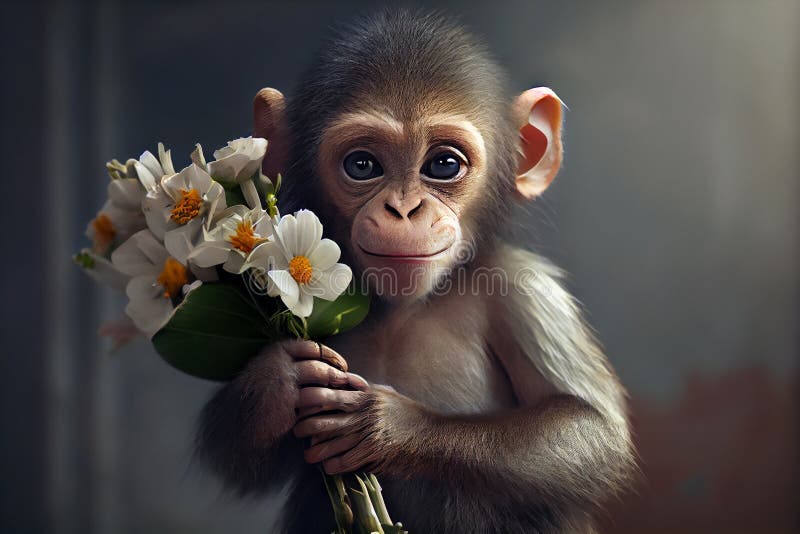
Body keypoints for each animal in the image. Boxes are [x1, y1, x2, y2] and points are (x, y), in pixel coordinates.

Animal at [197, 9, 635, 533]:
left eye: (444, 164)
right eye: (363, 164)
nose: (403, 210)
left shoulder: (526, 290)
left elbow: (588, 431)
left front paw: (388, 425)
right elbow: (241, 457)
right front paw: (279, 377)